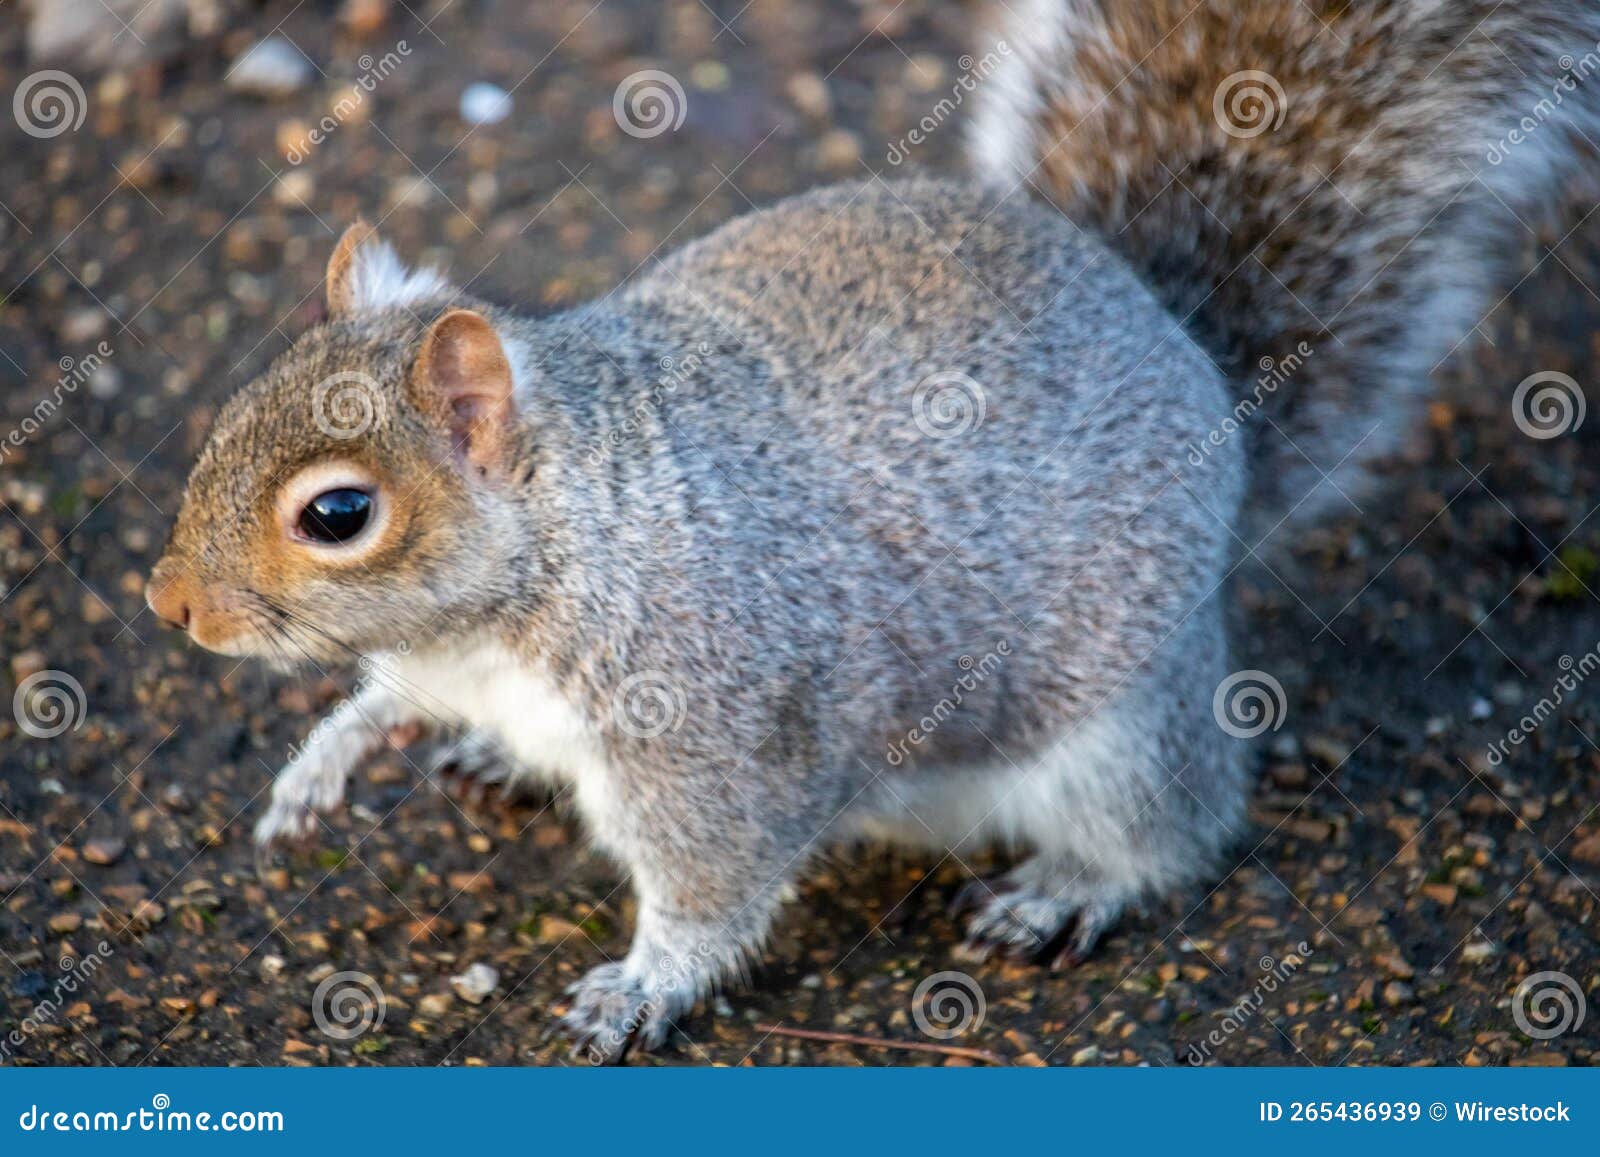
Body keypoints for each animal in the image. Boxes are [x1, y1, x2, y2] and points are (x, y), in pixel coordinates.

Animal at [146, 1, 1600, 1061]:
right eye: (230, 413)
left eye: (338, 513)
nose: (171, 604)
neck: (534, 583)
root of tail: (1208, 398)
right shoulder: (450, 660)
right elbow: (381, 696)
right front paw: (322, 764)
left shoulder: (715, 733)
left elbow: (715, 885)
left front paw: (641, 985)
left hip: (1115, 726)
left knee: (1177, 819)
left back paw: (1071, 884)